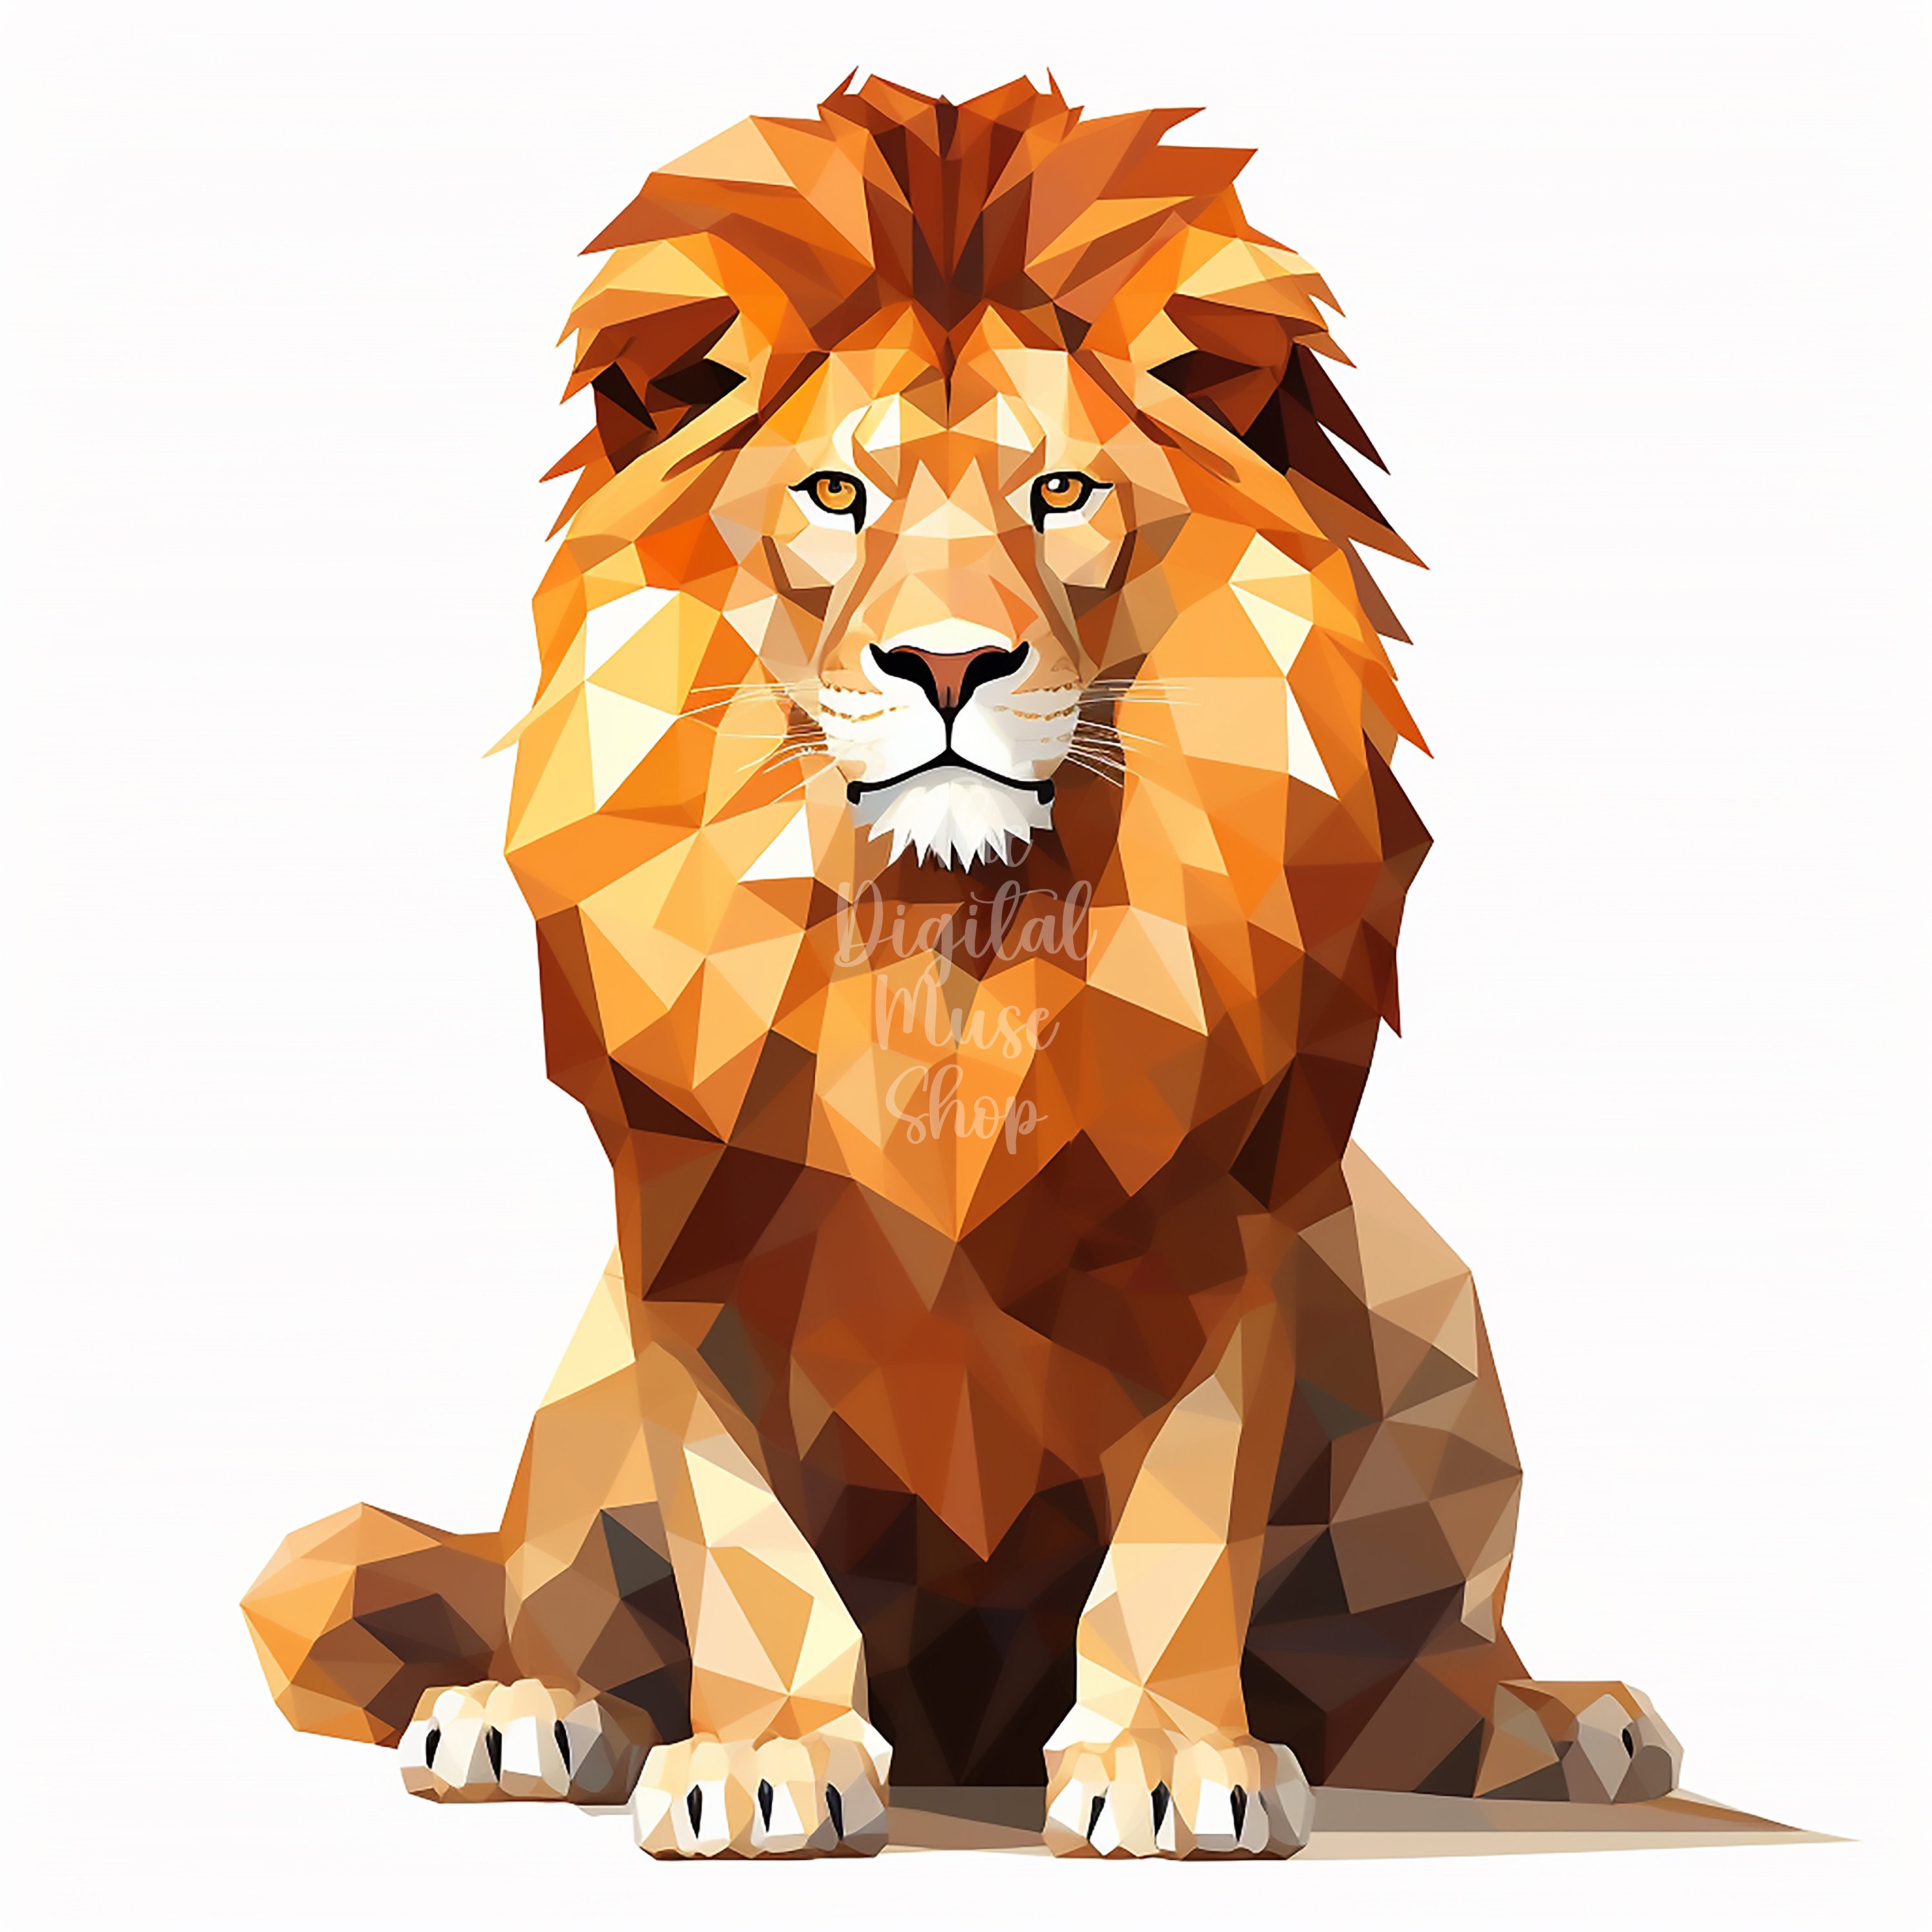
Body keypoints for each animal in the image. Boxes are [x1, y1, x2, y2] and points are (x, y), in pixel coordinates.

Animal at [243, 75, 1683, 1859]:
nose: (946, 663)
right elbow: (740, 1538)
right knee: (532, 1589)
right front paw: (764, 1758)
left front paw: (1166, 1759)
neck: (951, 935)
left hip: (1428, 1336)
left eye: (1059, 496)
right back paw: (517, 1708)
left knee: (1407, 1674)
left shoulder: (1236, 1215)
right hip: (574, 1427)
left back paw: (1562, 1725)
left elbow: (1183, 1528)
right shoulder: (689, 1232)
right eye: (834, 498)